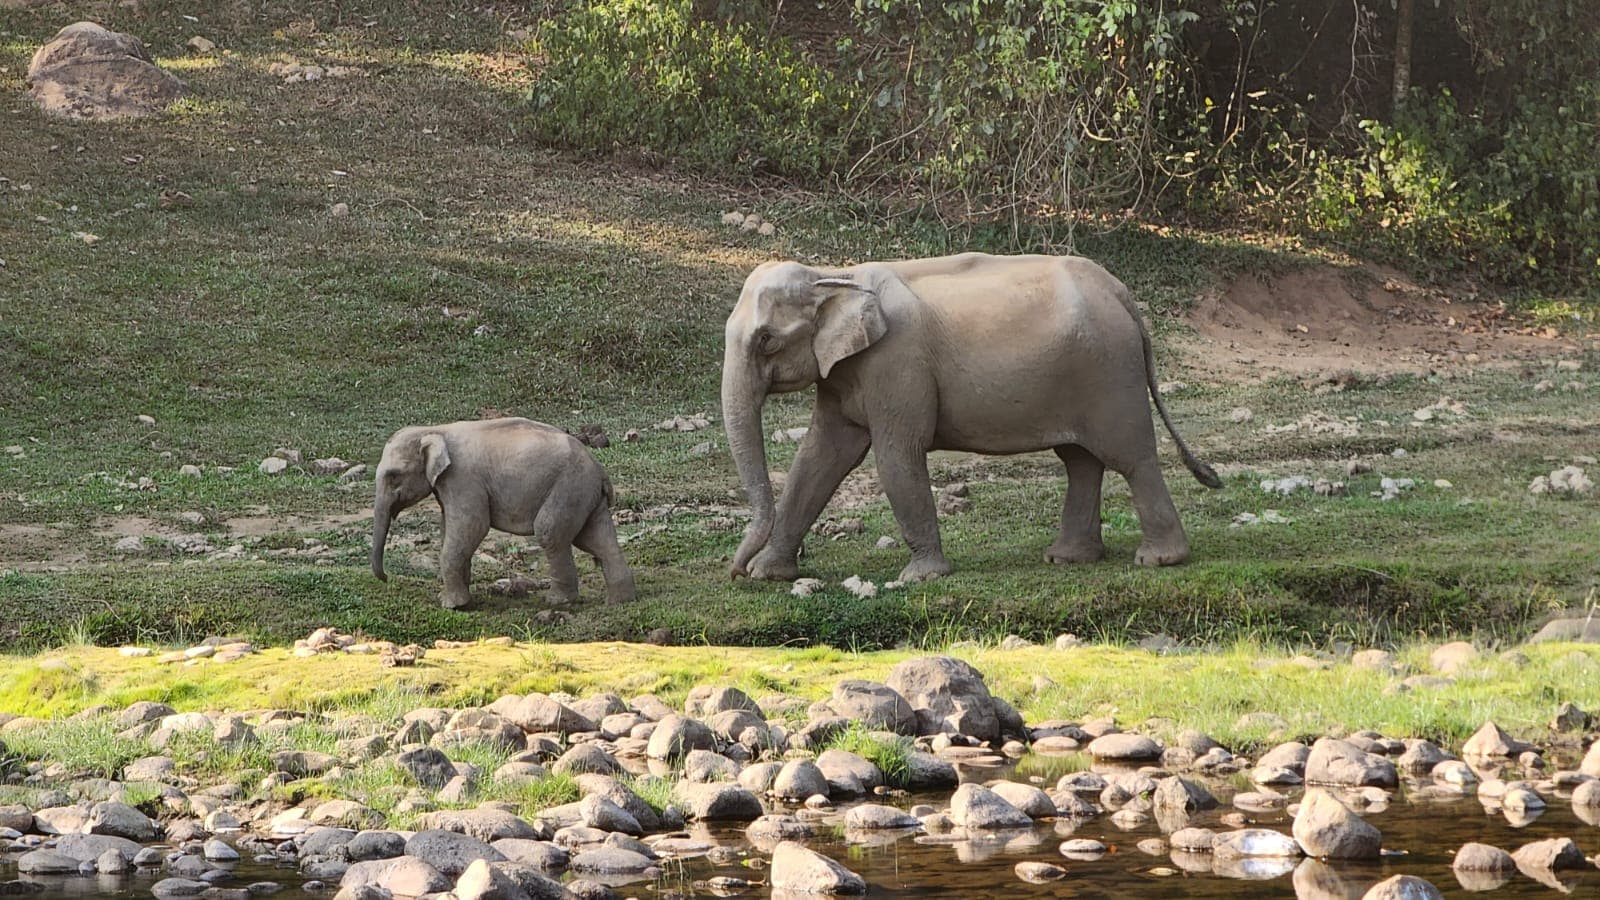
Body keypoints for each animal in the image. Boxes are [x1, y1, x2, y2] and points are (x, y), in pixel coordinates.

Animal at [370, 418, 636, 608]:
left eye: (393, 475)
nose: (386, 579)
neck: (435, 430)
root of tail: (599, 469)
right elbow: (451, 529)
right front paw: (458, 597)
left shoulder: (462, 478)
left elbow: (472, 525)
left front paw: (454, 606)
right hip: (584, 494)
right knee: (595, 538)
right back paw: (619, 601)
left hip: (569, 488)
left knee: (550, 532)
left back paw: (558, 601)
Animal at [720, 252, 1222, 583]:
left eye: (766, 340)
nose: (734, 570)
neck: (835, 276)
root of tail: (1121, 292)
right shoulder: (843, 374)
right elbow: (819, 458)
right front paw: (769, 573)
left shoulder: (897, 364)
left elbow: (897, 456)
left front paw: (920, 577)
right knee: (1080, 460)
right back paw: (1067, 558)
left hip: (1110, 373)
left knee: (1130, 457)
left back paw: (1158, 560)